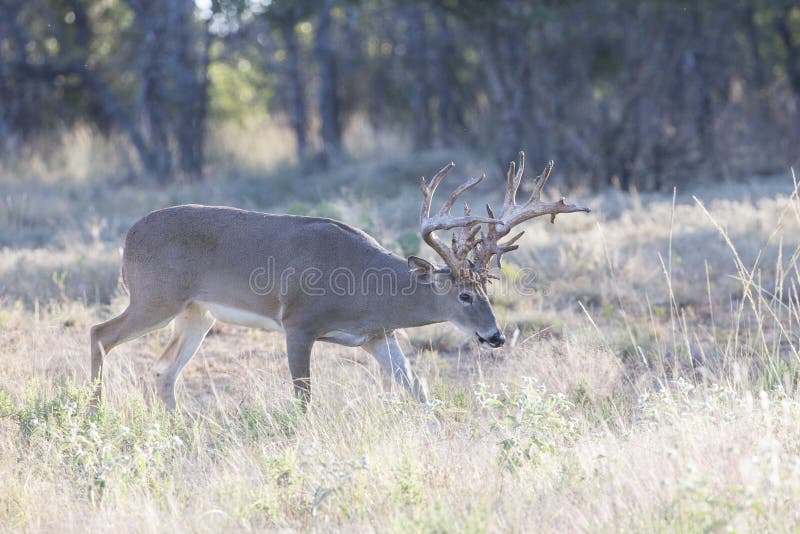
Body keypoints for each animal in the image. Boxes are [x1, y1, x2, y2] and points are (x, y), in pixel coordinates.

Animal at [90, 152, 590, 410]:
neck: (365, 289)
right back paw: (94, 411)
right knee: (100, 333)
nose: (495, 336)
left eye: (489, 291)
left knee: (163, 369)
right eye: (465, 295)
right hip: (155, 296)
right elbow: (304, 398)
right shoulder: (298, 322)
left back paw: (176, 428)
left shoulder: (377, 335)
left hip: (197, 313)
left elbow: (418, 388)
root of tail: (128, 236)